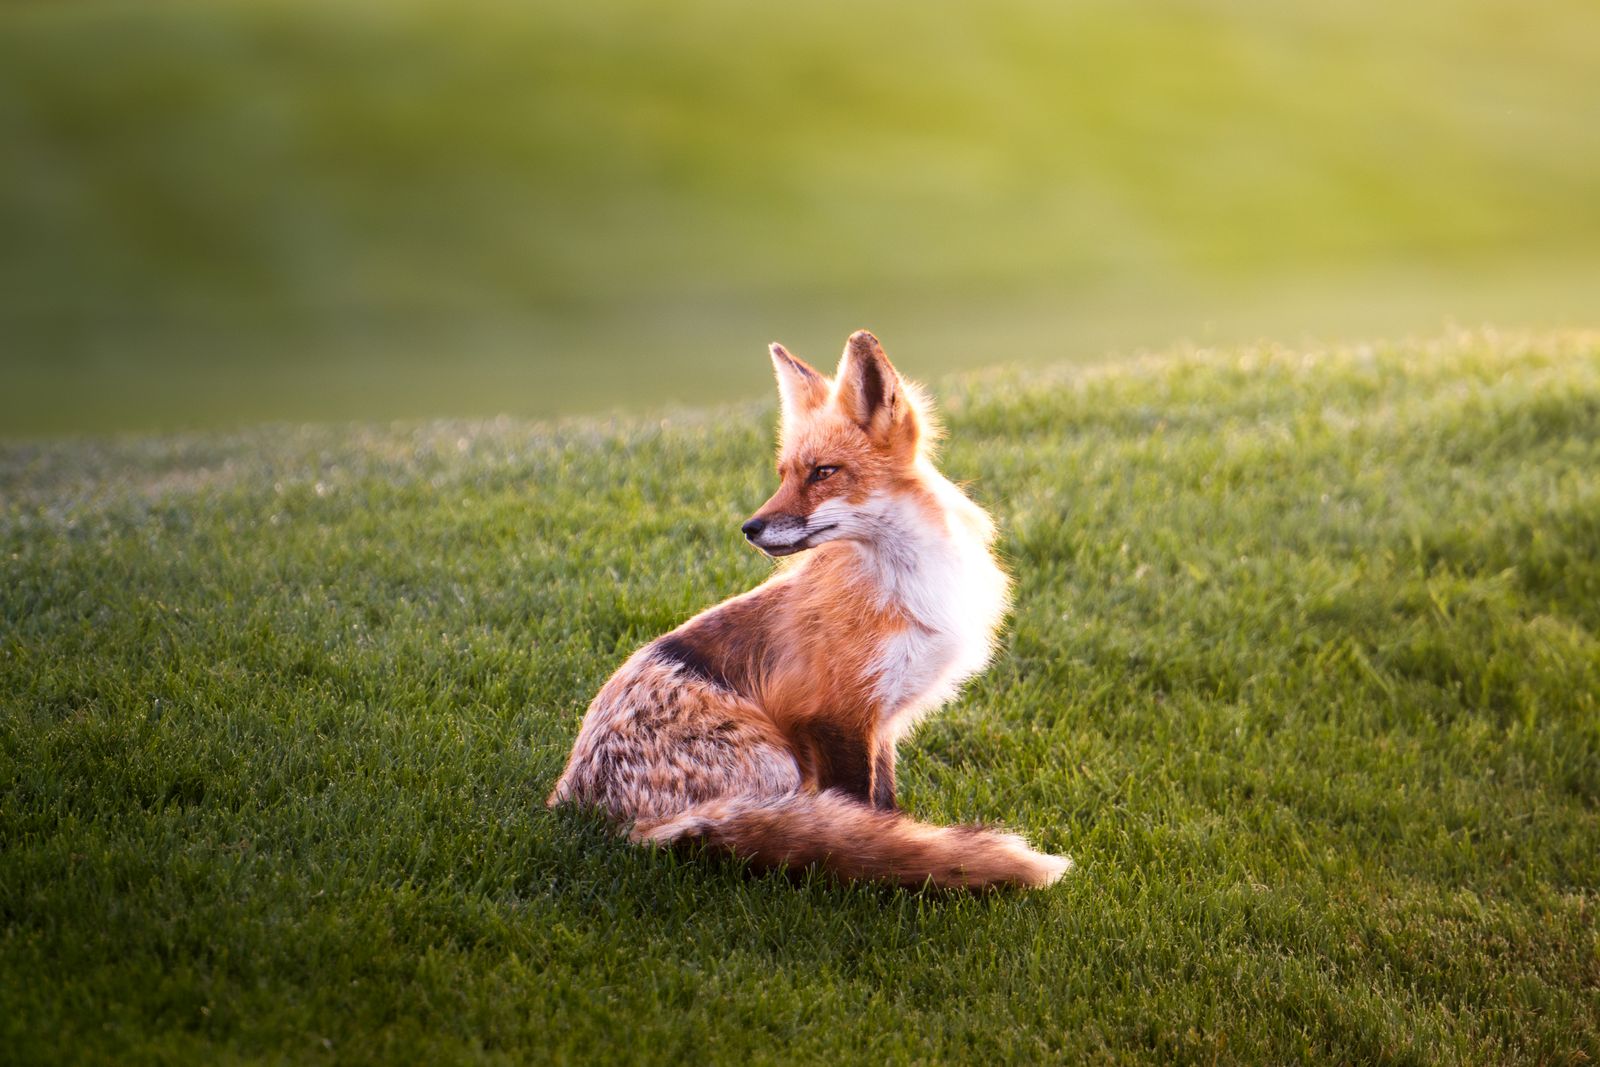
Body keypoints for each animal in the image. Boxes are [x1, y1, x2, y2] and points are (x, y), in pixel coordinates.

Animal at [547, 330, 1071, 889]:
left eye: (823, 472)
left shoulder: (879, 720)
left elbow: (885, 806)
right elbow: (866, 815)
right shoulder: (832, 714)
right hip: (778, 768)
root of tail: (598, 819)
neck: (905, 586)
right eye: (784, 474)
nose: (749, 529)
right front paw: (881, 861)